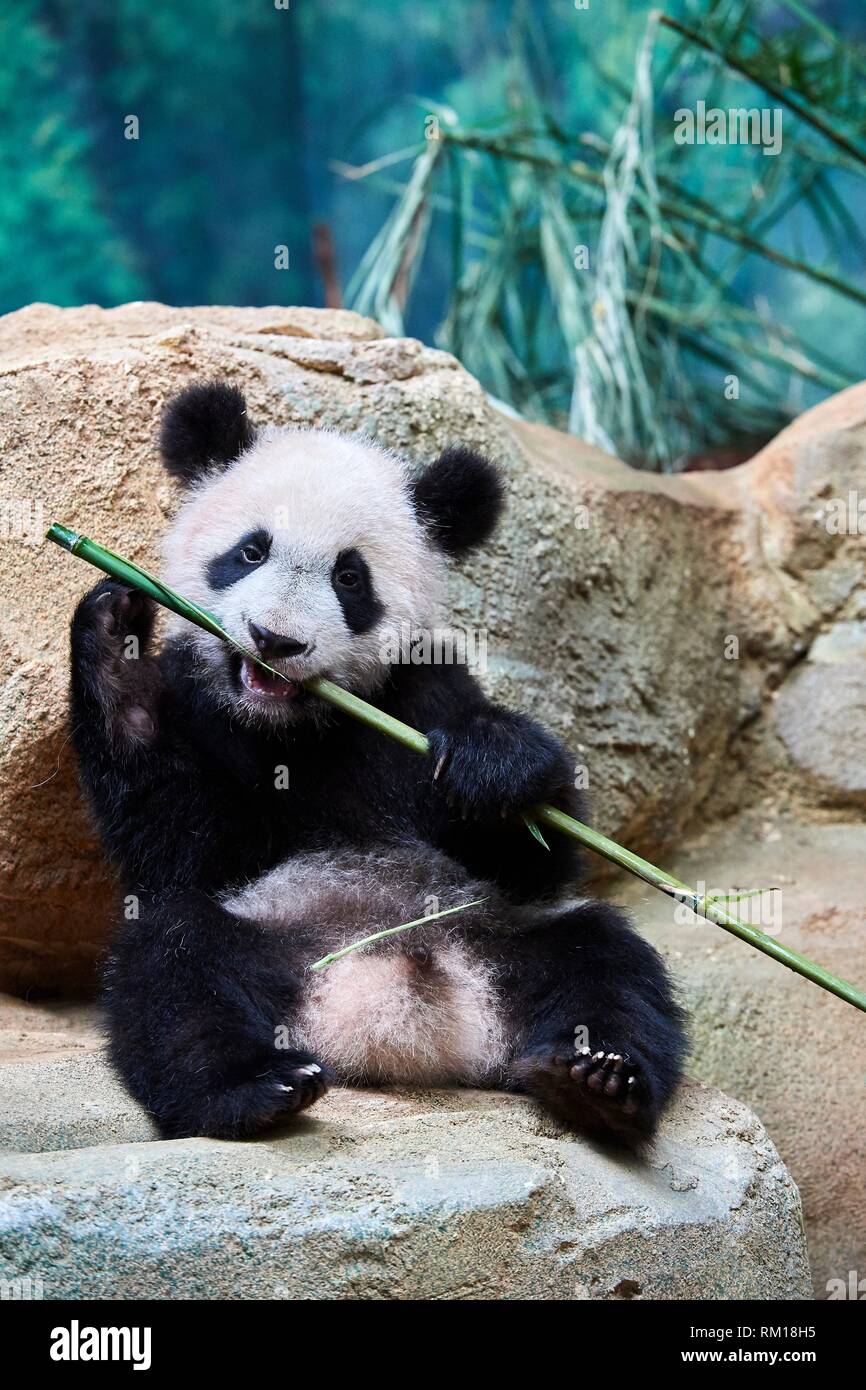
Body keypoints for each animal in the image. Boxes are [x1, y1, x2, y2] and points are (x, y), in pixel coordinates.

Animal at [69, 382, 686, 1144]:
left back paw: (596, 1080)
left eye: (349, 577)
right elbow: (179, 847)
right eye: (250, 552)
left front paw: (496, 764)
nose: (276, 640)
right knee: (173, 969)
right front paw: (114, 629)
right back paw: (254, 1089)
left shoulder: (423, 693)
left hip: (500, 936)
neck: (295, 723)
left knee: (608, 963)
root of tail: (387, 1019)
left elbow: (535, 859)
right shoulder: (200, 711)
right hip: (275, 936)